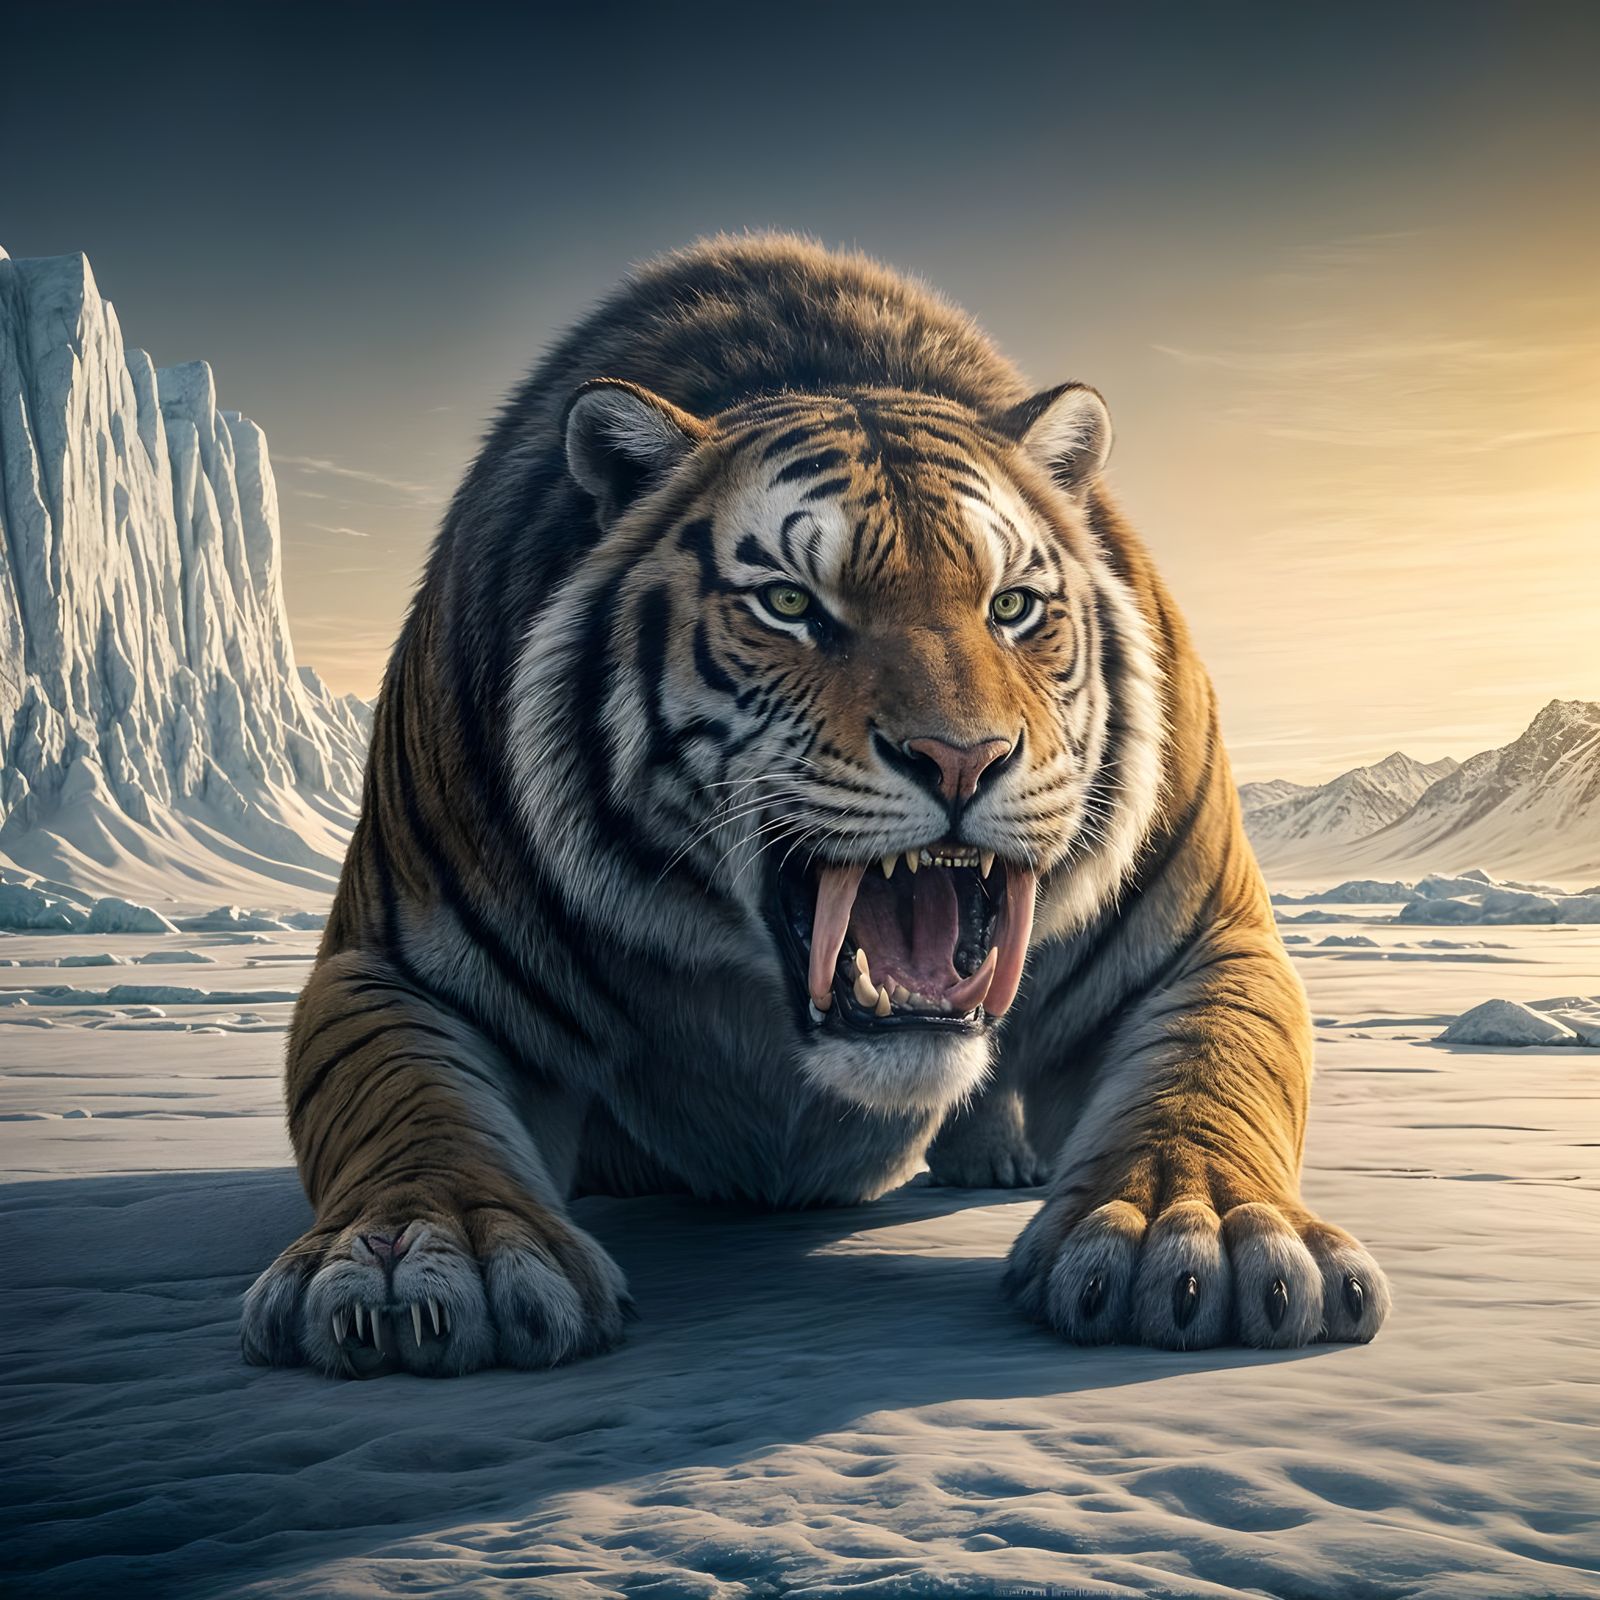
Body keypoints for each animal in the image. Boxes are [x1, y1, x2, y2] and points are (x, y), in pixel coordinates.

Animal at [241, 233, 1390, 1377]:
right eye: (791, 603)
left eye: (1012, 607)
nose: (962, 757)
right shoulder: (392, 960)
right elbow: (401, 1103)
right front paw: (424, 1263)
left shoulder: (1201, 935)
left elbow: (1214, 1071)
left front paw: (1200, 1240)